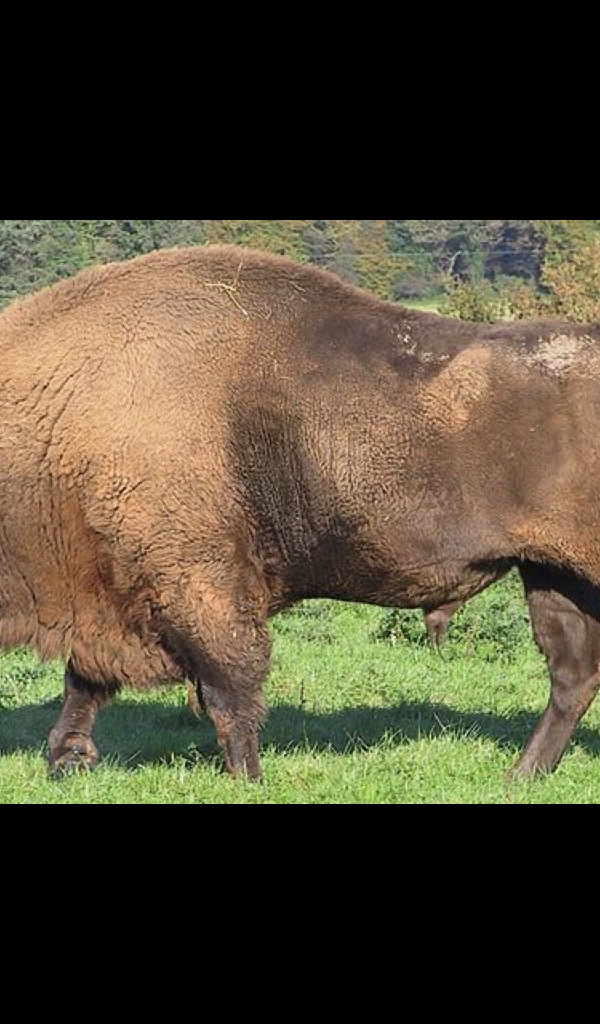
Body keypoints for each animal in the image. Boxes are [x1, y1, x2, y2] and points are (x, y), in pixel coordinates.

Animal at [1, 244, 600, 782]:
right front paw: (68, 759)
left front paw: (247, 778)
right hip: (551, 574)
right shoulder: (112, 597)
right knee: (572, 676)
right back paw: (521, 775)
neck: (57, 417)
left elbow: (228, 689)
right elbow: (85, 683)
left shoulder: (202, 589)